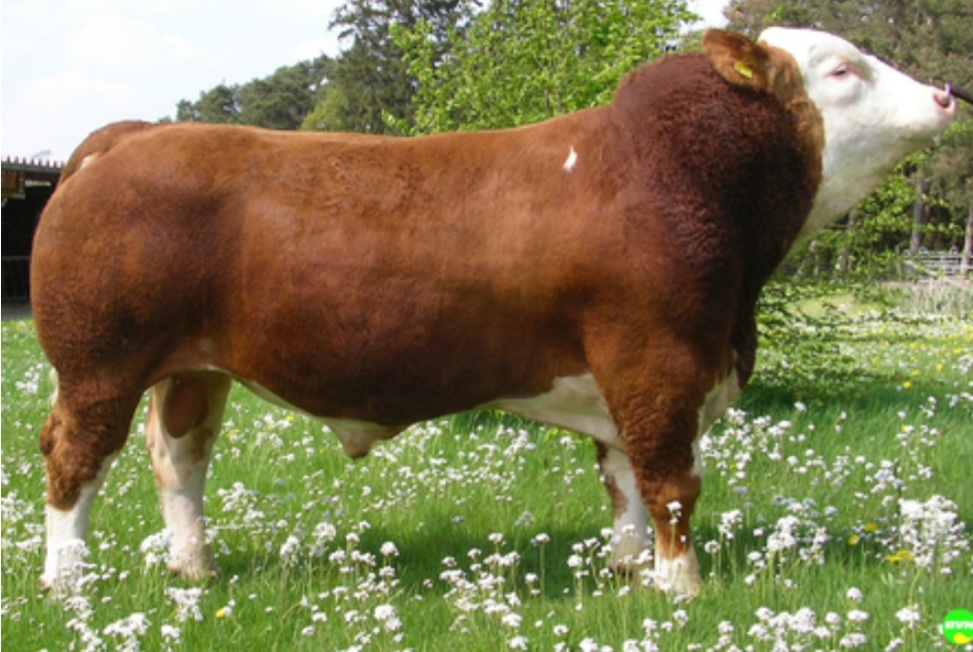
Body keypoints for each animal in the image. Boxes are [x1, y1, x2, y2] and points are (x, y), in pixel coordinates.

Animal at [32, 28, 956, 597]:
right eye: (840, 69)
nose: (948, 93)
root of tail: (133, 133)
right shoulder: (658, 362)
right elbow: (669, 483)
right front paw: (680, 588)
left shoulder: (623, 381)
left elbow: (623, 481)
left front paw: (627, 575)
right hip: (99, 361)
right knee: (75, 458)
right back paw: (67, 582)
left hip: (192, 366)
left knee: (180, 458)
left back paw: (194, 569)